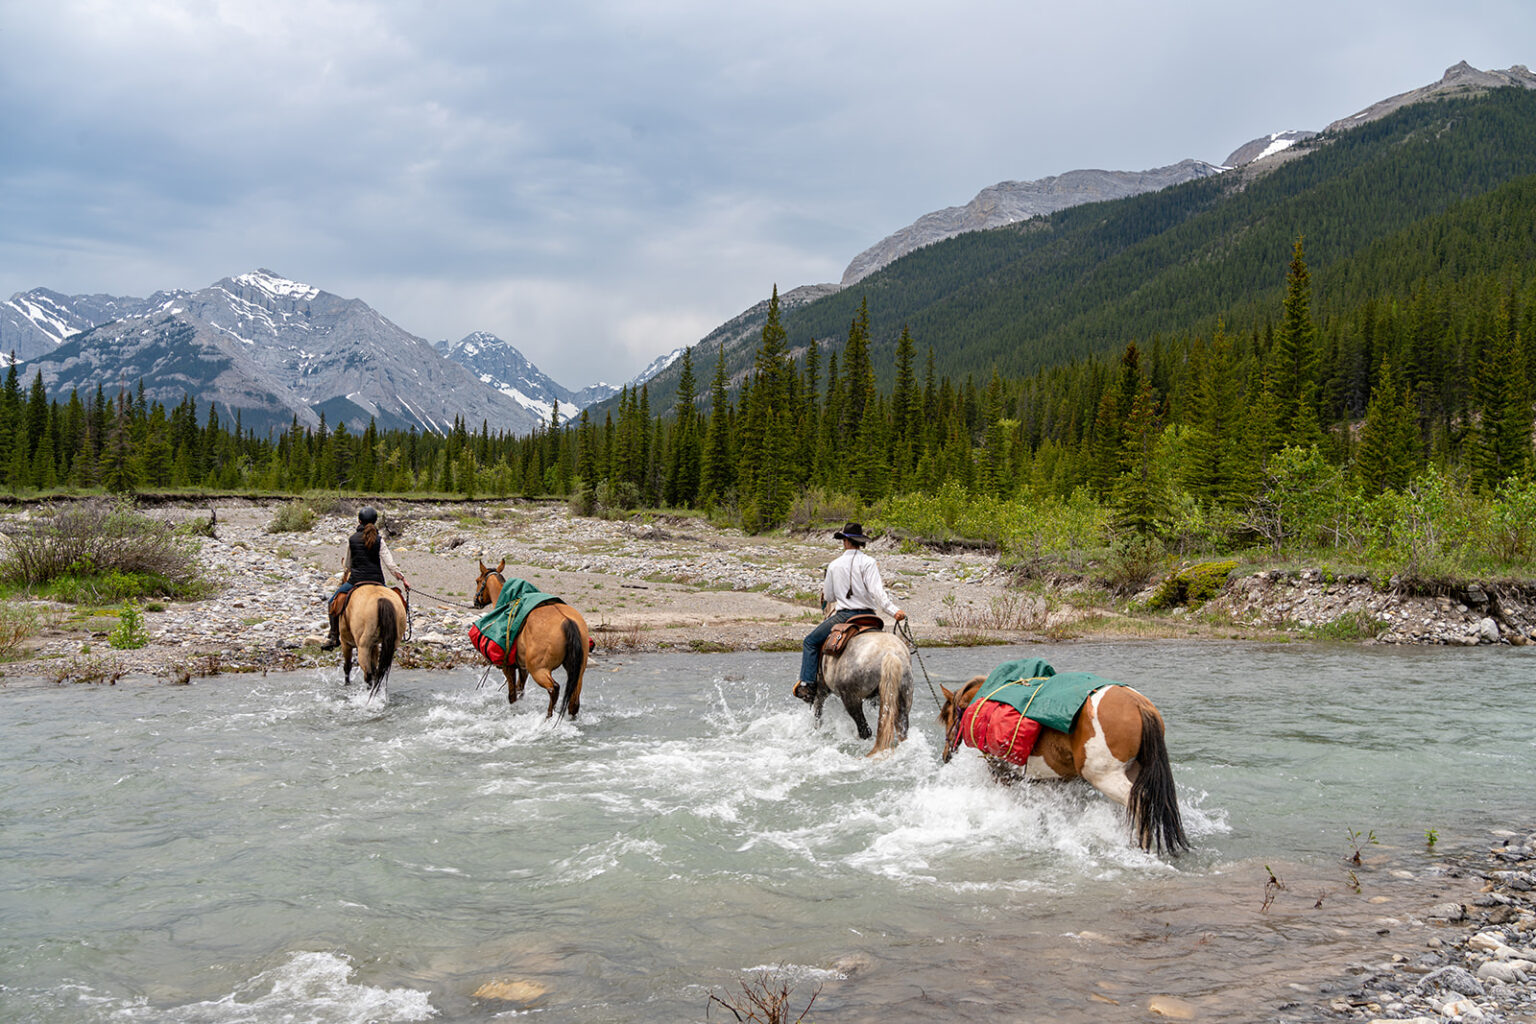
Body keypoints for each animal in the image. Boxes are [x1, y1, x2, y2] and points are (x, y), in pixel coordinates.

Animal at [473, 559, 591, 719]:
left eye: (477, 581)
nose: (475, 602)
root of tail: (568, 621)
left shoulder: (508, 667)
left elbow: (512, 695)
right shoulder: (523, 668)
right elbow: (520, 689)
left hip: (538, 670)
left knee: (554, 689)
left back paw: (548, 718)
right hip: (577, 670)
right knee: (574, 701)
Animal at [939, 675, 1189, 855]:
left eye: (948, 715)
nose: (945, 755)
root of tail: (1139, 705)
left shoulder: (1003, 774)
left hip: (1105, 777)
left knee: (1139, 800)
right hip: (1135, 771)